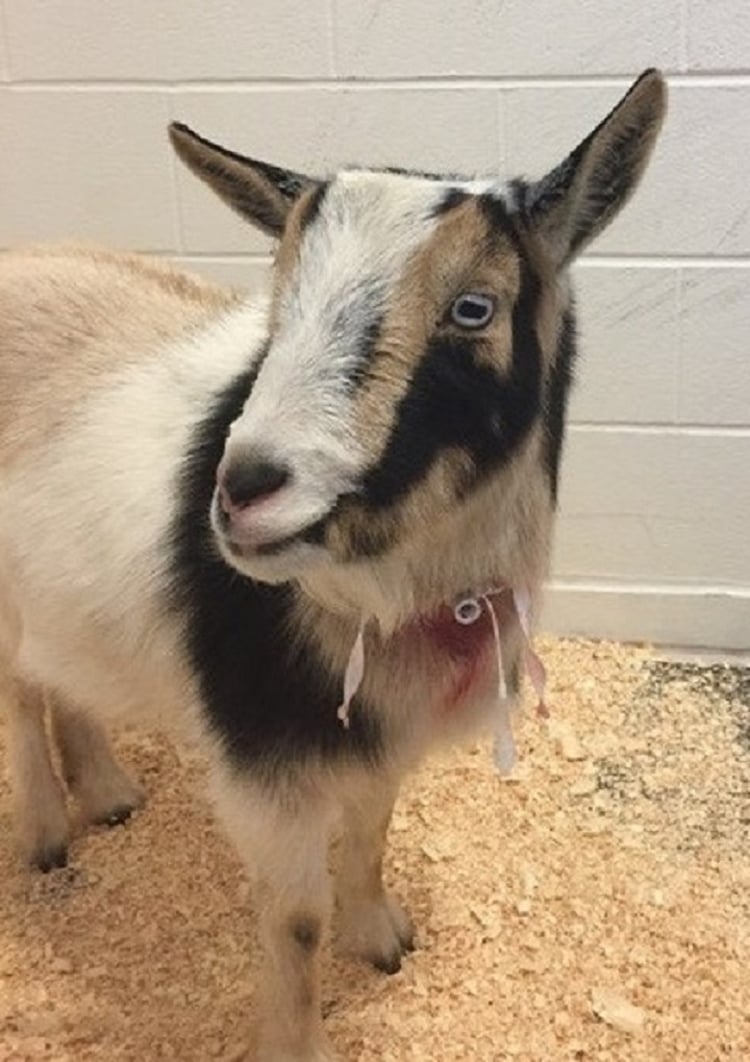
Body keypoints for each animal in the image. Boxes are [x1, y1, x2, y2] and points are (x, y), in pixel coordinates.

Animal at [0, 70, 666, 1061]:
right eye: (279, 301)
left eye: (473, 307)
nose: (242, 490)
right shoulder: (265, 773)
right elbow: (293, 923)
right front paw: (299, 1037)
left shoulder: (375, 739)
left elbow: (374, 829)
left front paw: (380, 937)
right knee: (17, 689)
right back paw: (46, 833)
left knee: (57, 676)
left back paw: (109, 794)